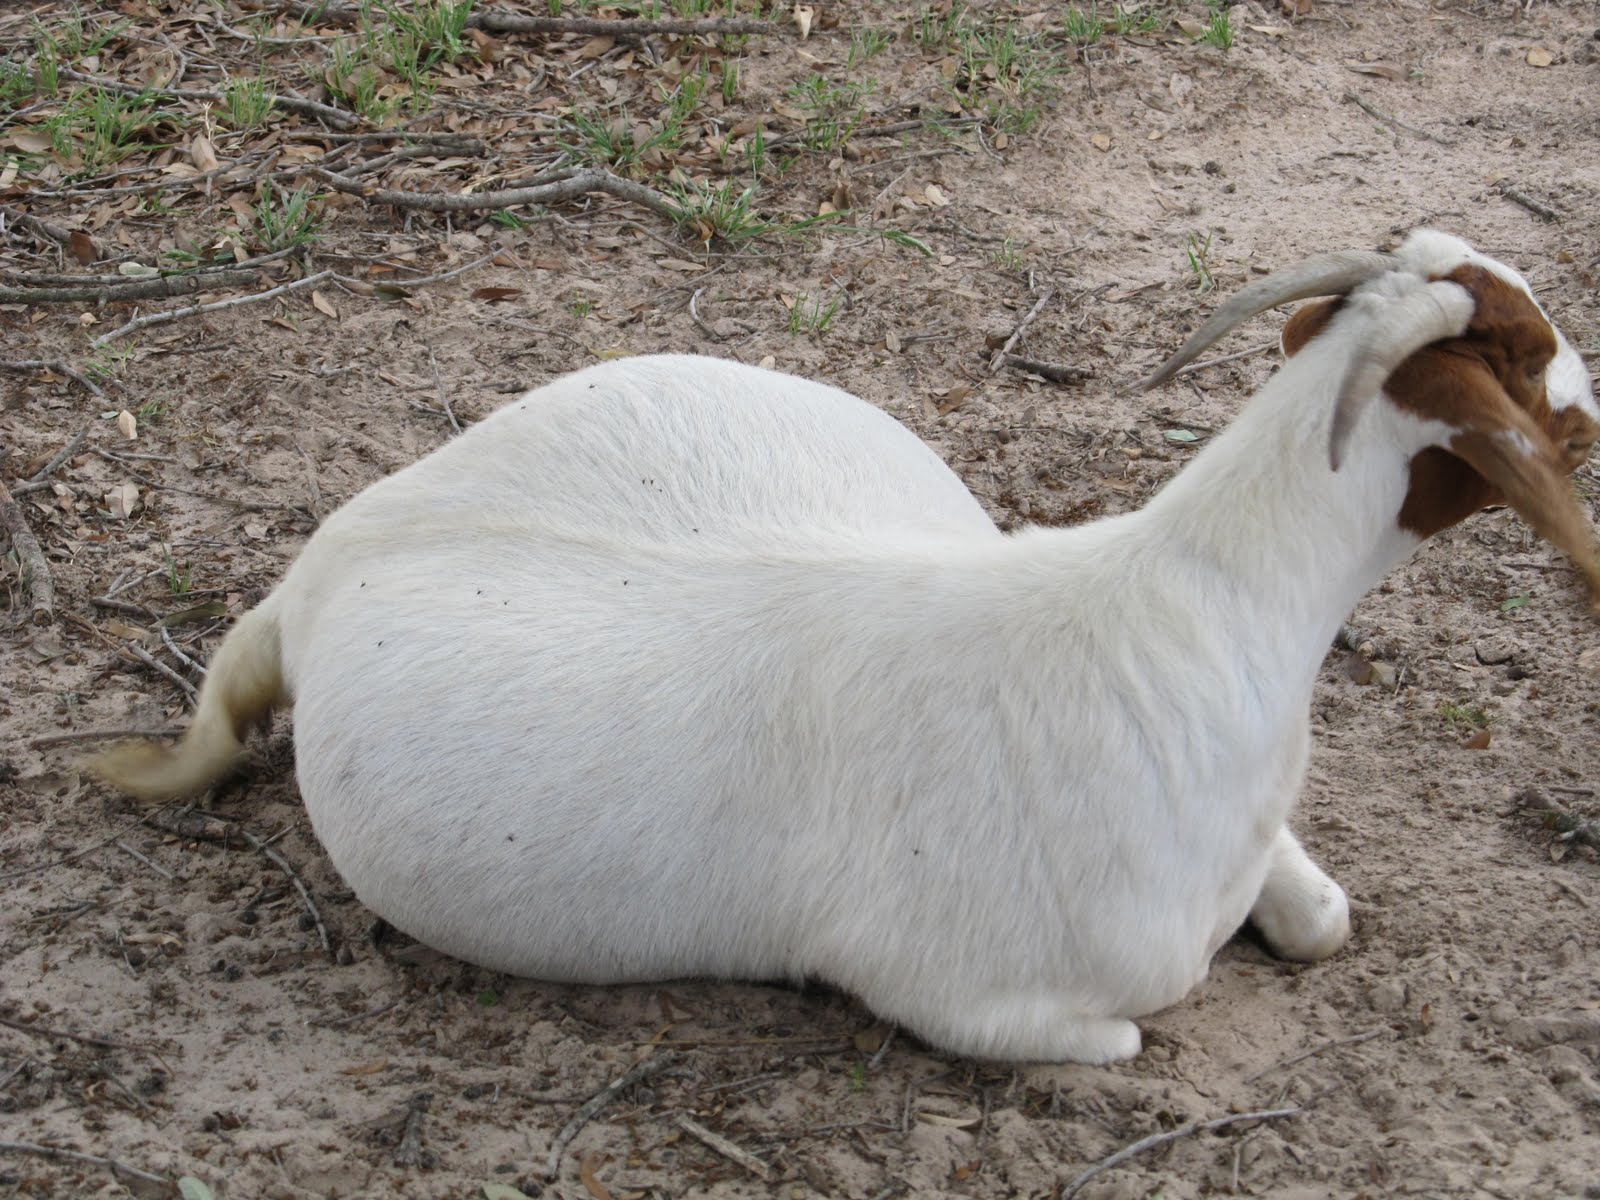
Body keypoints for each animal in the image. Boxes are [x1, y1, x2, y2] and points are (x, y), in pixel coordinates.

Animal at [92, 230, 1599, 1063]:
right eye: (1532, 358)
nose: (1594, 394)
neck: (1185, 612)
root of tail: (330, 559)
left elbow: (1324, 917)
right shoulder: (977, 1002)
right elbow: (1118, 1030)